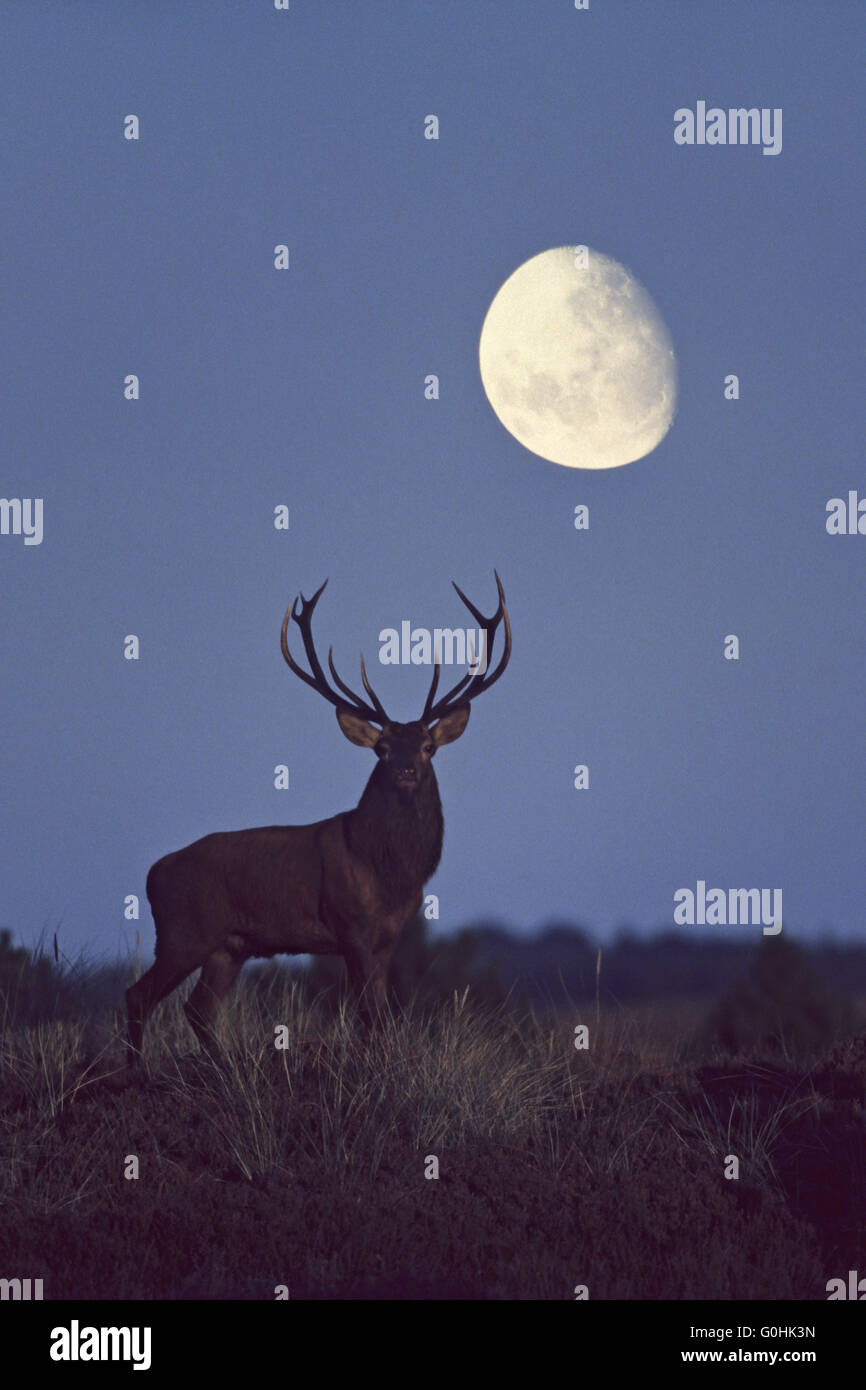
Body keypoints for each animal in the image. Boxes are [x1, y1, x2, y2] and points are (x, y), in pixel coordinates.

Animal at [126, 574, 511, 1062]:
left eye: (428, 746)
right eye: (382, 748)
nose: (406, 770)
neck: (387, 869)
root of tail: (153, 873)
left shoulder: (387, 938)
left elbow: (381, 1017)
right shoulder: (351, 928)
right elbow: (370, 1017)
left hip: (228, 947)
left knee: (198, 1008)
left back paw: (218, 1062)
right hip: (182, 933)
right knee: (138, 995)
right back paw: (134, 1067)